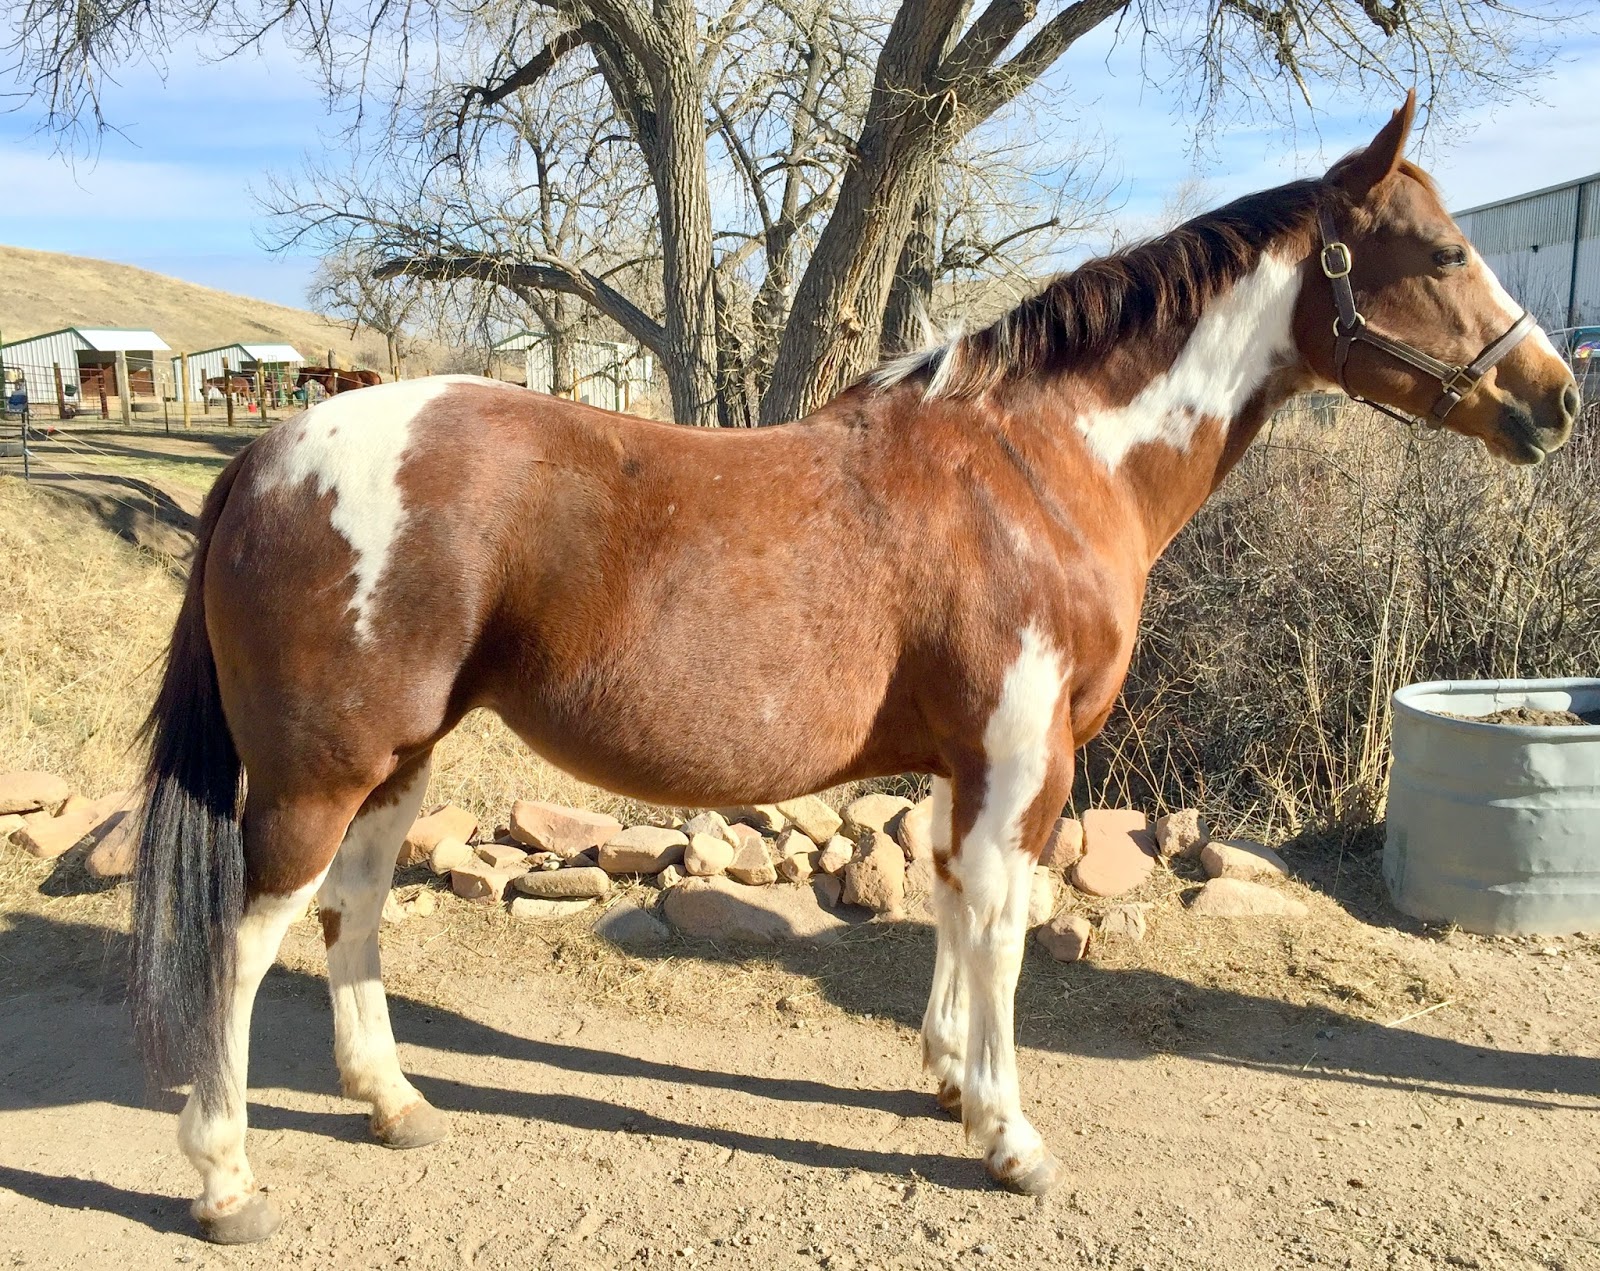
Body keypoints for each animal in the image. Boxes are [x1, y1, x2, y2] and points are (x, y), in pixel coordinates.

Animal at [130, 94, 1578, 1244]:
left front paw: (943, 1075)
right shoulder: (1025, 758)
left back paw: (393, 1101)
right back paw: (225, 1178)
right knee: (246, 942)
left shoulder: (963, 759)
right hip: (316, 775)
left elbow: (947, 902)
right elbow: (1002, 922)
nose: (1557, 399)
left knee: (353, 911)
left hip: (397, 761)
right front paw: (1008, 1133)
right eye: (1443, 251)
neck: (1039, 466)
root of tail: (268, 454)